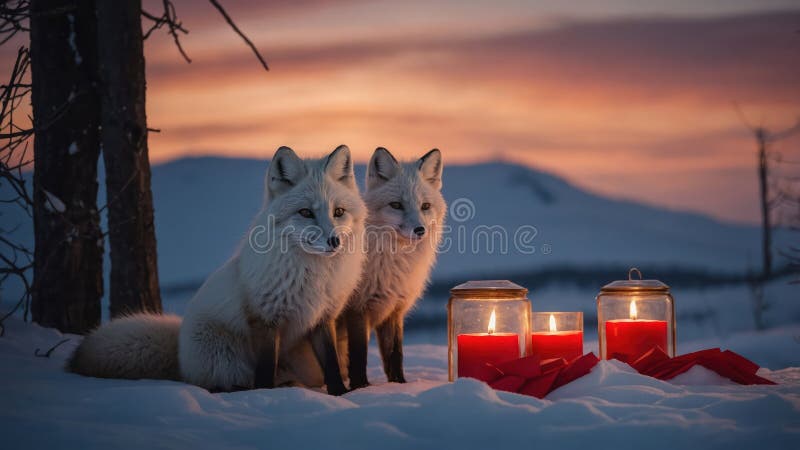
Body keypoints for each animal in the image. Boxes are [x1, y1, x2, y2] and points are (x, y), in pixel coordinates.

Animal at [67, 145, 367, 396]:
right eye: (306, 213)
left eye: (338, 212)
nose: (334, 241)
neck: (313, 276)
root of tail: (180, 348)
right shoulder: (264, 318)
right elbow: (264, 371)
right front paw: (266, 396)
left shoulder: (323, 317)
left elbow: (332, 364)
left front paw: (341, 394)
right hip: (225, 359)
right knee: (220, 384)